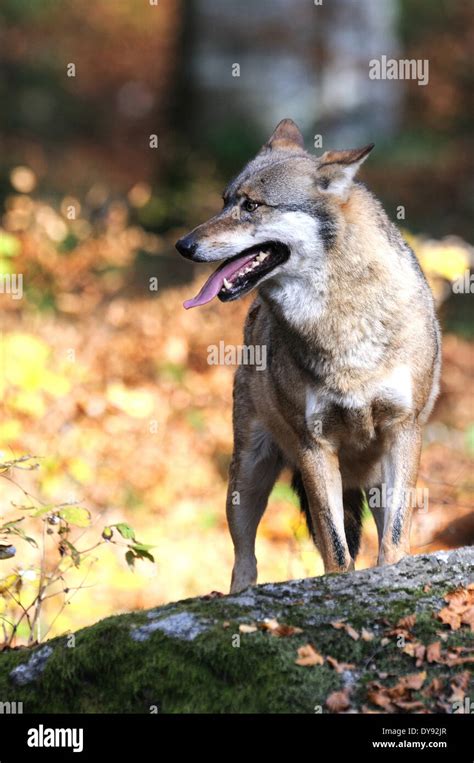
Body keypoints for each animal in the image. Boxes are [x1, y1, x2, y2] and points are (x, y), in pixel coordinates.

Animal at [176, 119, 441, 594]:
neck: (344, 321)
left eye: (252, 205)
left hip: (371, 478)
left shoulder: (404, 431)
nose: (183, 244)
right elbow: (335, 550)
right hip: (248, 476)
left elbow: (393, 541)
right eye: (225, 201)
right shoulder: (313, 445)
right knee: (244, 561)